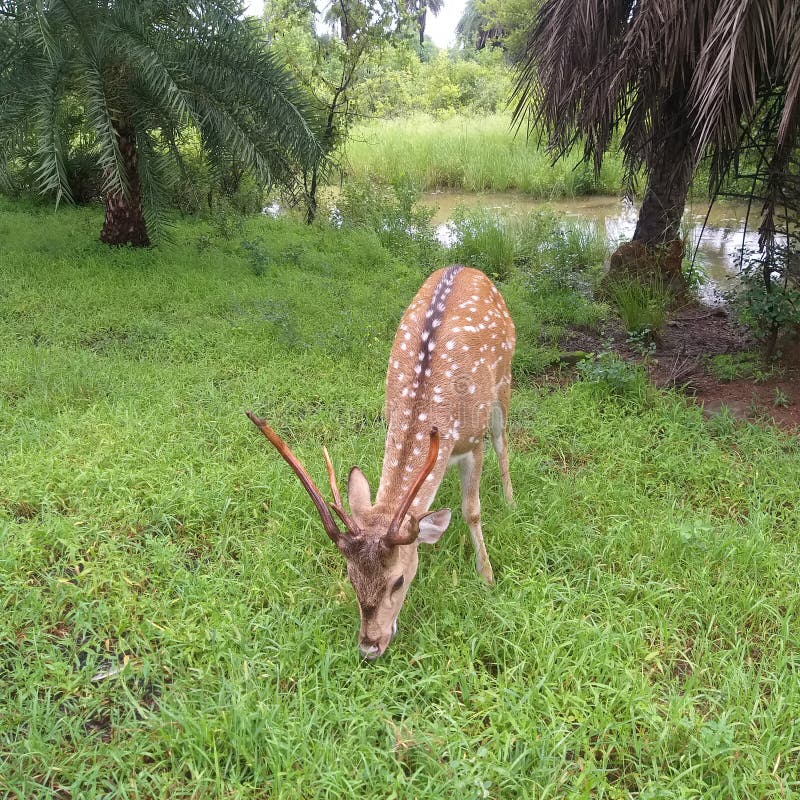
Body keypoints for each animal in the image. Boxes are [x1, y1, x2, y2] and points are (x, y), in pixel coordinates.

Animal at [246, 264, 515, 660]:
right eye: (350, 576)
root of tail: (464, 266)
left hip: (504, 381)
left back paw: (511, 500)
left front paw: (487, 576)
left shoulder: (471, 440)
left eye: (399, 580)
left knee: (502, 439)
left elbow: (472, 511)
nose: (369, 646)